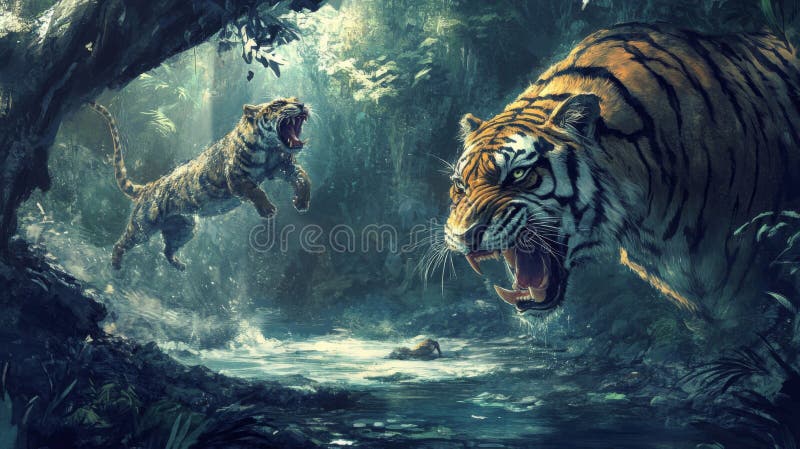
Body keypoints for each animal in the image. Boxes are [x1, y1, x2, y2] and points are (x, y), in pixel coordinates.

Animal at [88, 98, 312, 270]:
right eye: (279, 103)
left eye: (295, 99)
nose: (302, 104)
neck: (270, 149)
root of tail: (149, 186)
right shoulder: (236, 177)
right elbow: (255, 190)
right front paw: (267, 209)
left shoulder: (285, 167)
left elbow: (304, 178)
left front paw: (301, 202)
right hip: (143, 227)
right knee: (122, 242)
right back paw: (116, 265)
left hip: (185, 229)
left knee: (166, 249)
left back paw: (179, 265)